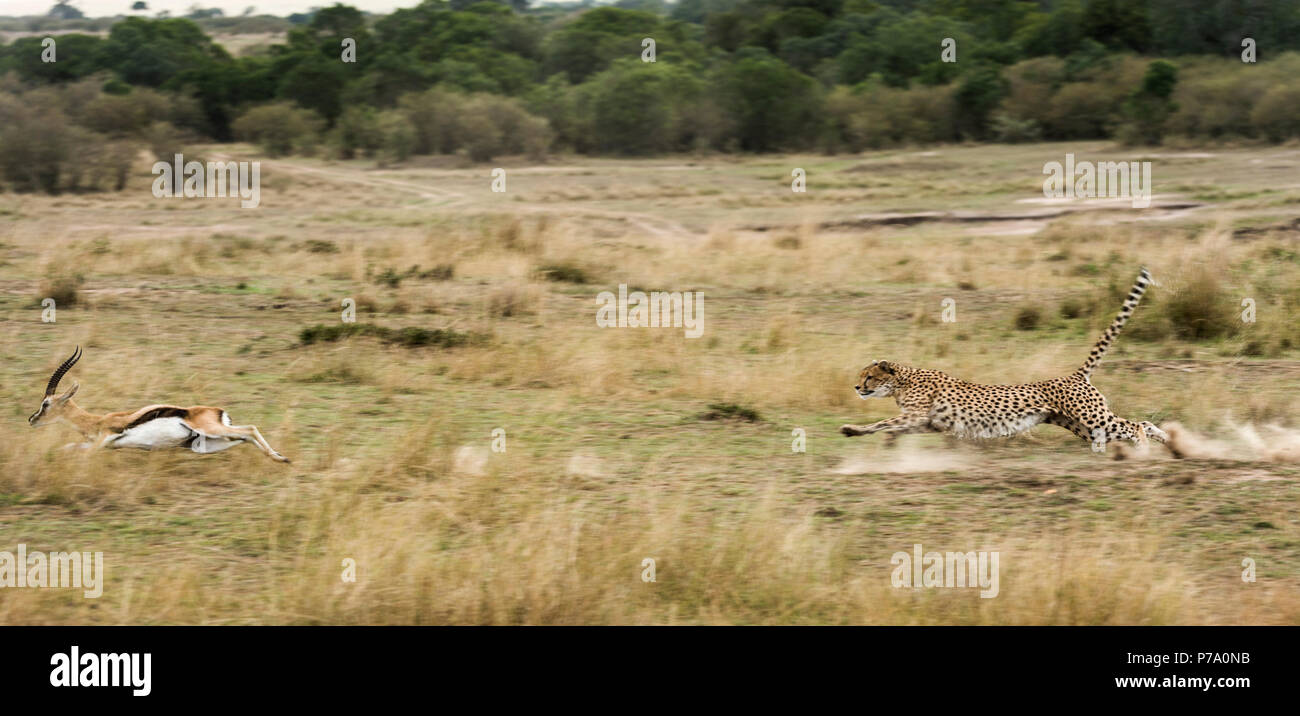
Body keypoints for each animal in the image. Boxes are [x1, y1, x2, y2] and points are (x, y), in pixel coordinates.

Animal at [28, 347, 290, 463]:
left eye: (46, 403)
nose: (32, 419)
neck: (97, 421)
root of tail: (218, 411)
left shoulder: (103, 442)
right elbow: (67, 448)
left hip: (211, 430)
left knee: (250, 429)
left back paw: (281, 458)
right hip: (206, 444)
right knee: (244, 437)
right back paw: (278, 455)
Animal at [839, 267, 1172, 455]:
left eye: (868, 376)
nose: (856, 387)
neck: (902, 381)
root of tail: (1073, 376)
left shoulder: (917, 416)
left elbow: (882, 422)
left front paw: (852, 429)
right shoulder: (927, 423)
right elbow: (890, 427)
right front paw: (883, 442)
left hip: (1092, 419)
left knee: (1135, 426)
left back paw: (1145, 450)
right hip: (1083, 426)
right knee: (1139, 423)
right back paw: (1168, 440)